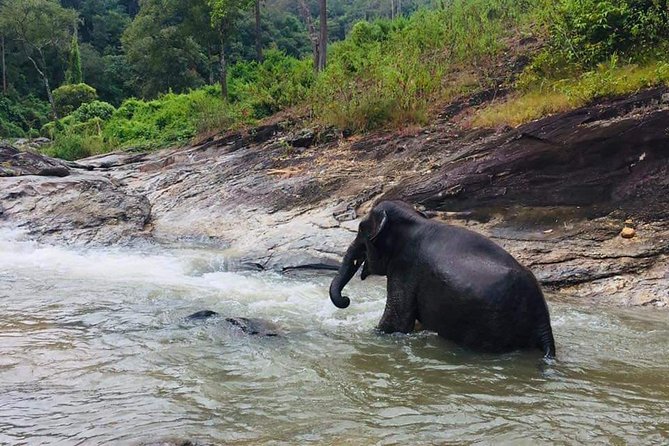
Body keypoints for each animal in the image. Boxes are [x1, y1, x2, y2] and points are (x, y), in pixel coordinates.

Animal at [329, 200, 556, 358]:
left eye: (360, 229)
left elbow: (396, 322)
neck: (414, 219)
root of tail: (543, 325)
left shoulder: (405, 268)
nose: (347, 300)